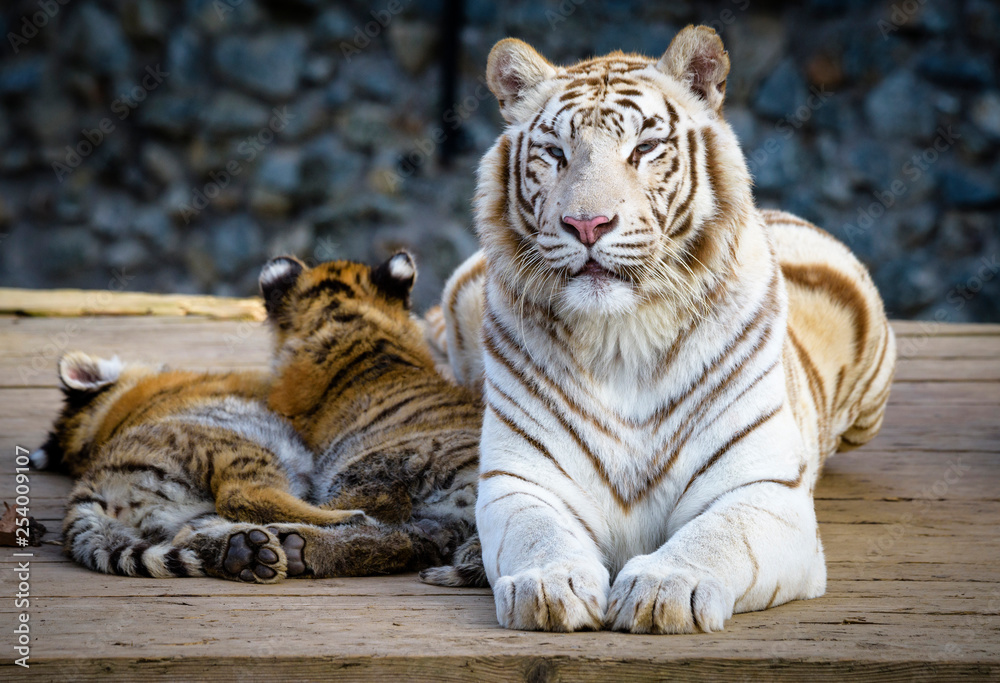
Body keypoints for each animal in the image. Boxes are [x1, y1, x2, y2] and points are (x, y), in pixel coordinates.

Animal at [30, 353, 366, 583]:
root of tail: (90, 486)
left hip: (189, 515)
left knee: (190, 534)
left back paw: (244, 553)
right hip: (236, 448)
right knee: (239, 495)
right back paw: (344, 517)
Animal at [260, 251, 487, 584]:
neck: (353, 317)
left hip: (375, 466)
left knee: (368, 508)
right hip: (438, 521)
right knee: (400, 541)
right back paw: (296, 546)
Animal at [428, 26, 896, 633]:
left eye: (644, 149)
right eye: (555, 154)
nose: (587, 224)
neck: (621, 337)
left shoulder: (765, 489)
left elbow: (717, 537)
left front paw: (666, 588)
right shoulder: (522, 480)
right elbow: (537, 534)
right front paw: (549, 585)